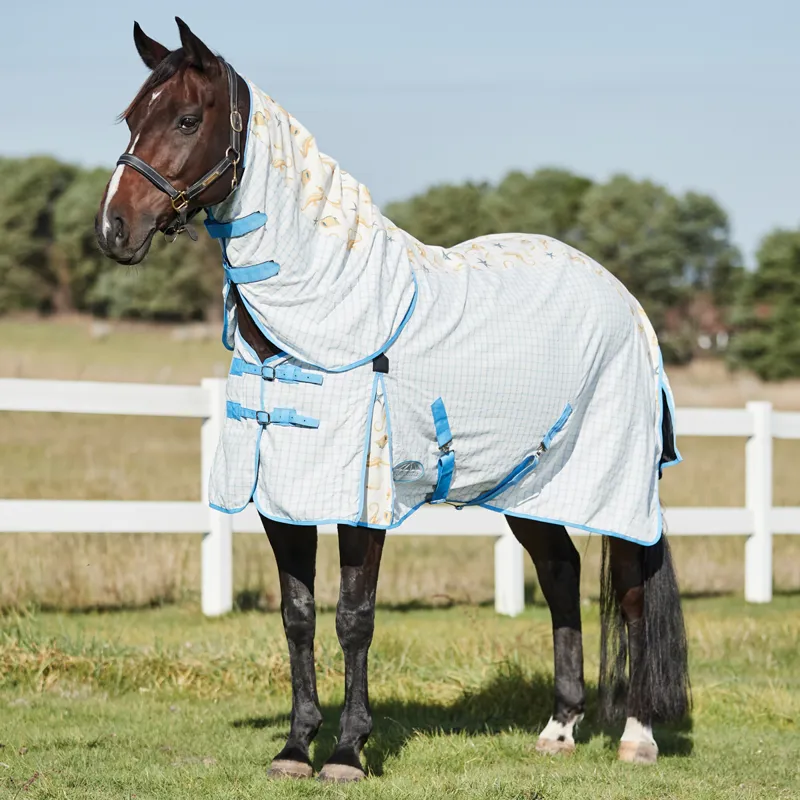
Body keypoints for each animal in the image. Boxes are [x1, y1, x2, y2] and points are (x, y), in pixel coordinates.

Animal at [95, 17, 690, 782]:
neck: (327, 310)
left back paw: (636, 736)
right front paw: (295, 747)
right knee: (561, 575)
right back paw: (558, 729)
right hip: (529, 486)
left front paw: (348, 751)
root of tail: (625, 301)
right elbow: (297, 615)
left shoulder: (361, 501)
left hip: (615, 487)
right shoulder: (281, 495)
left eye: (187, 119)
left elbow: (354, 617)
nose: (114, 228)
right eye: (131, 118)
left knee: (633, 592)